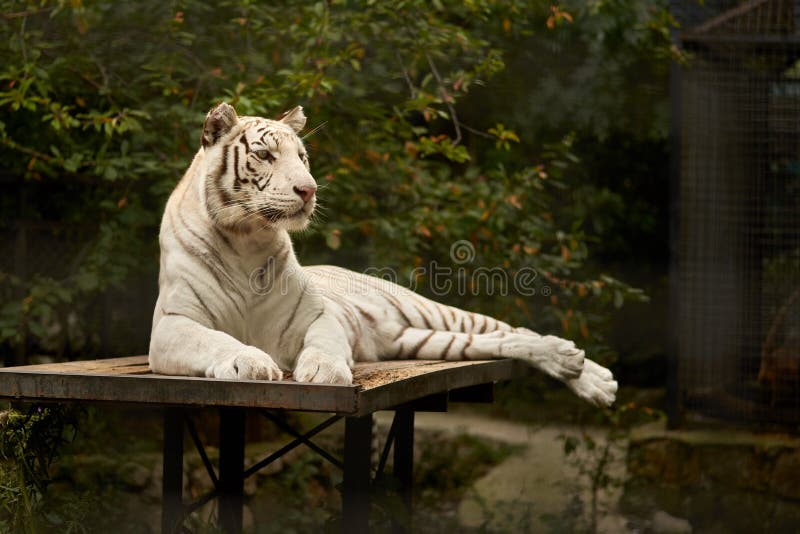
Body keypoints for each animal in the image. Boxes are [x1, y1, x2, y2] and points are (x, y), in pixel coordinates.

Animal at [148, 103, 618, 407]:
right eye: (265, 155)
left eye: (302, 157)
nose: (308, 189)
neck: (248, 238)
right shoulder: (172, 324)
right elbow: (214, 339)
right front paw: (248, 360)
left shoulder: (319, 316)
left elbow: (324, 342)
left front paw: (324, 371)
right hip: (427, 340)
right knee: (501, 341)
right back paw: (581, 370)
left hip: (439, 315)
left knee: (513, 329)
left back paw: (589, 373)